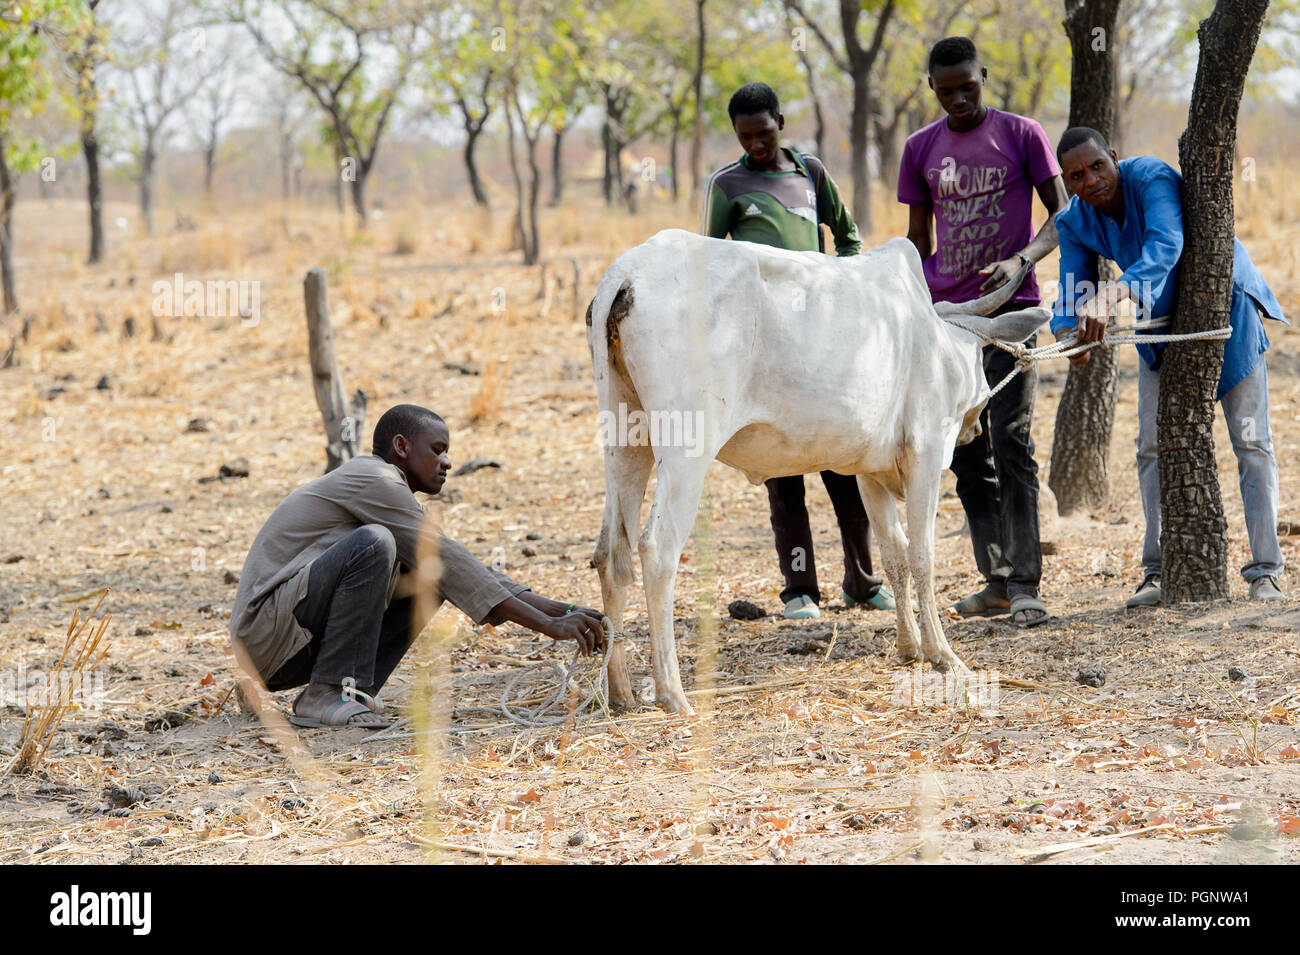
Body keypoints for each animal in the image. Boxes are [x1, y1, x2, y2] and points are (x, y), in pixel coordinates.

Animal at [586, 229, 1048, 715]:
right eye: (980, 364)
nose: (975, 428)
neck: (936, 342)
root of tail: (628, 271)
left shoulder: (869, 473)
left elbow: (894, 555)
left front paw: (909, 648)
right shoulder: (923, 454)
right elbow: (922, 556)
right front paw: (942, 654)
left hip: (625, 437)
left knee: (611, 554)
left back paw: (620, 691)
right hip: (686, 449)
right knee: (657, 550)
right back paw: (672, 694)